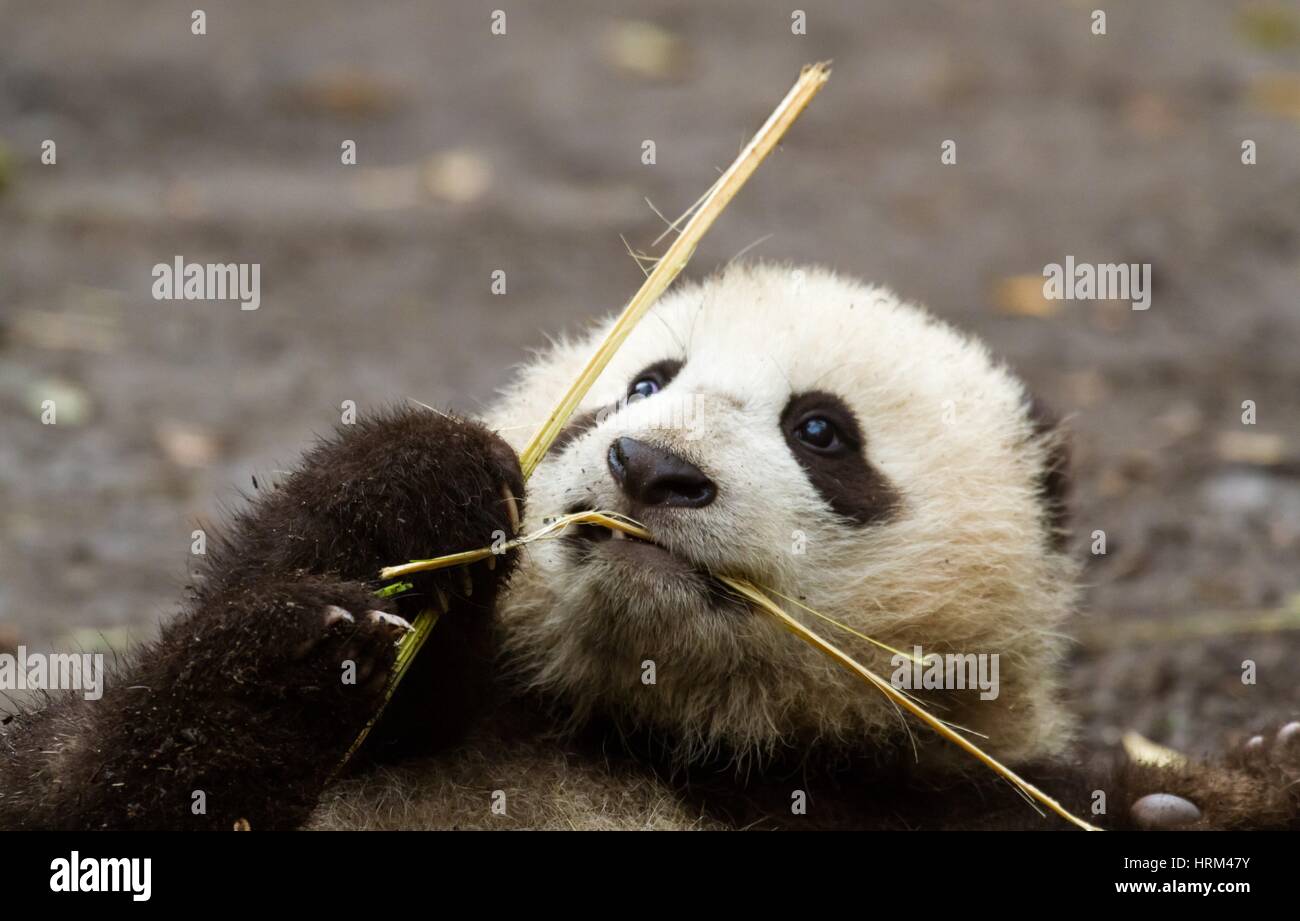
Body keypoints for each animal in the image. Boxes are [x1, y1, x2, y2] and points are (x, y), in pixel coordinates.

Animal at [2, 263, 1296, 831]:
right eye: (641, 381)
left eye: (820, 431)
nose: (647, 467)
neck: (650, 735)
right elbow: (76, 776)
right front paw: (393, 513)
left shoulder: (911, 794)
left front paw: (1217, 791)